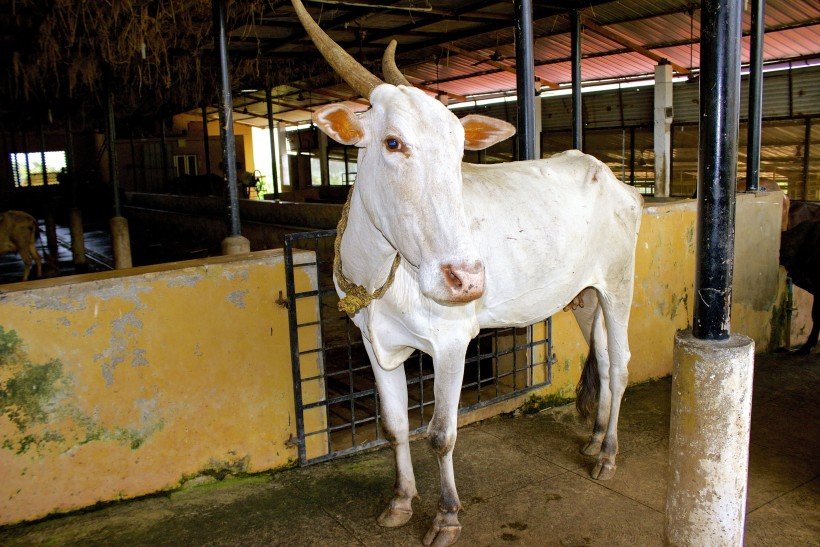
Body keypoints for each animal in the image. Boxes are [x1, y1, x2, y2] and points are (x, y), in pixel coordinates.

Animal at [291, 2, 643, 545]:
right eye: (393, 142)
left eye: (460, 150)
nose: (468, 279)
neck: (382, 276)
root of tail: (612, 177)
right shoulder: (375, 342)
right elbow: (394, 425)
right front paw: (400, 501)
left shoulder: (452, 340)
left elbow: (441, 432)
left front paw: (447, 516)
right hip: (584, 295)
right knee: (604, 359)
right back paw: (594, 440)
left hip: (618, 283)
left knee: (621, 362)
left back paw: (607, 456)